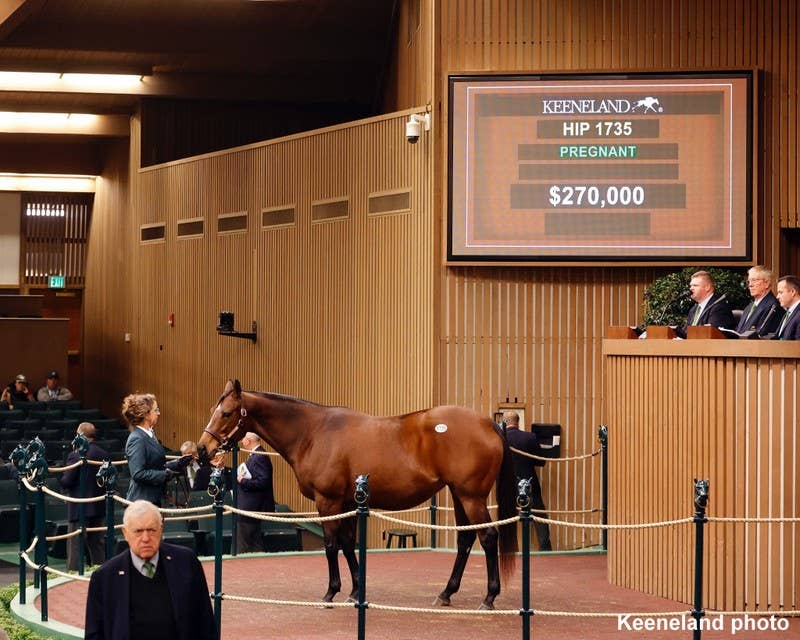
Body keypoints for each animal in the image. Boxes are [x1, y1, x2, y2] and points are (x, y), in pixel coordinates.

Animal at [197, 379, 518, 610]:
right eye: (213, 410)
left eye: (226, 413)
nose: (202, 449)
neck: (312, 432)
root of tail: (489, 423)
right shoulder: (349, 503)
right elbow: (348, 544)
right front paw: (355, 591)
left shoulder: (328, 502)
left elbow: (331, 545)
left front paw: (331, 592)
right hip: (459, 494)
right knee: (465, 540)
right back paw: (446, 593)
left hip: (471, 496)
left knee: (488, 537)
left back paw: (489, 597)